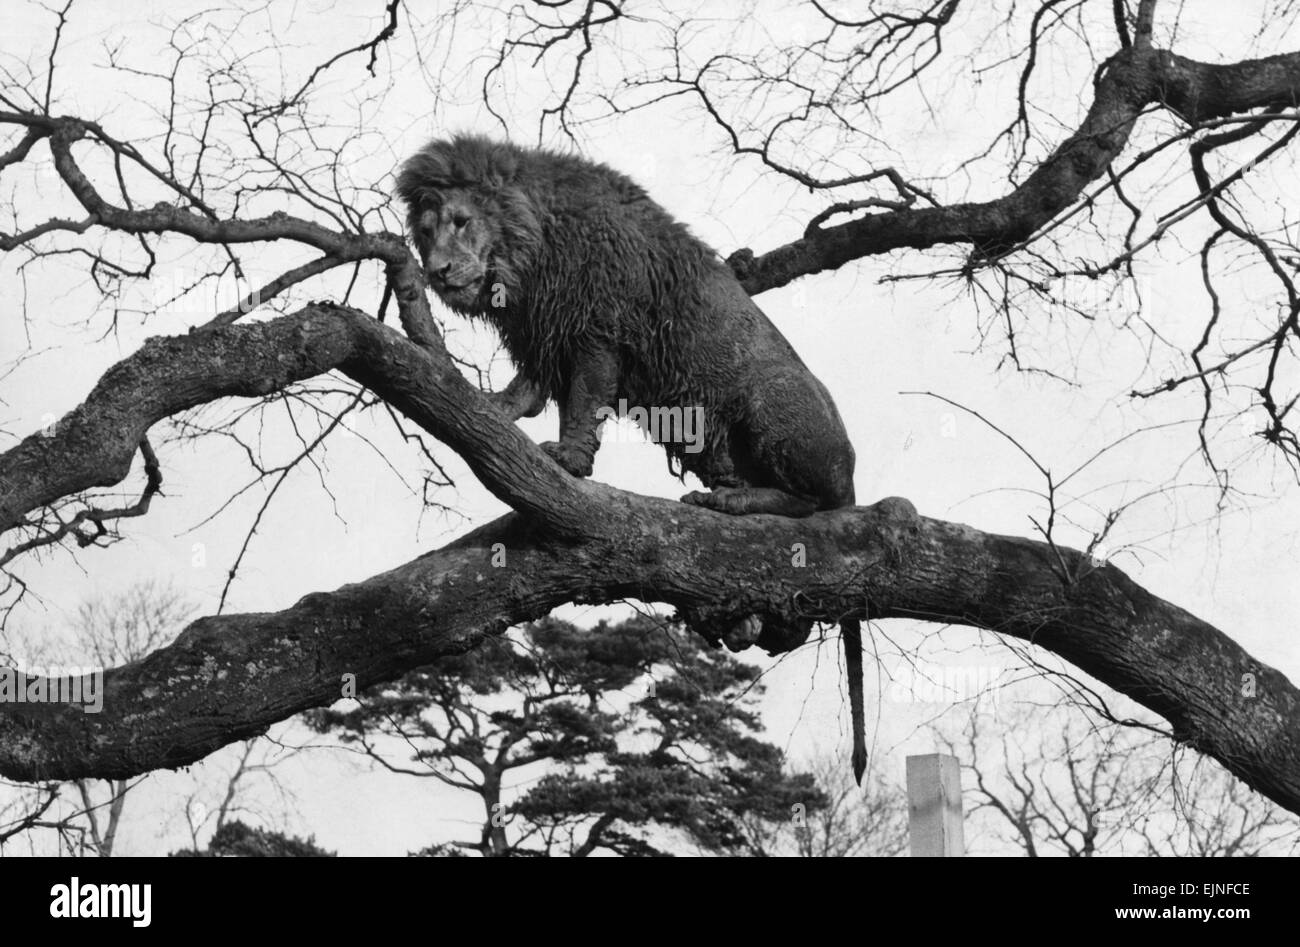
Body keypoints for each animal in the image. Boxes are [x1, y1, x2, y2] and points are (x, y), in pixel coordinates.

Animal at [397, 135, 867, 780]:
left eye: (462, 222)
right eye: (425, 231)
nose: (438, 273)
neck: (531, 249)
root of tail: (852, 474)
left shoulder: (596, 327)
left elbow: (582, 401)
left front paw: (569, 460)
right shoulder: (541, 335)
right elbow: (527, 394)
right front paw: (490, 407)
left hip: (770, 395)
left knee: (812, 501)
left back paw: (732, 500)